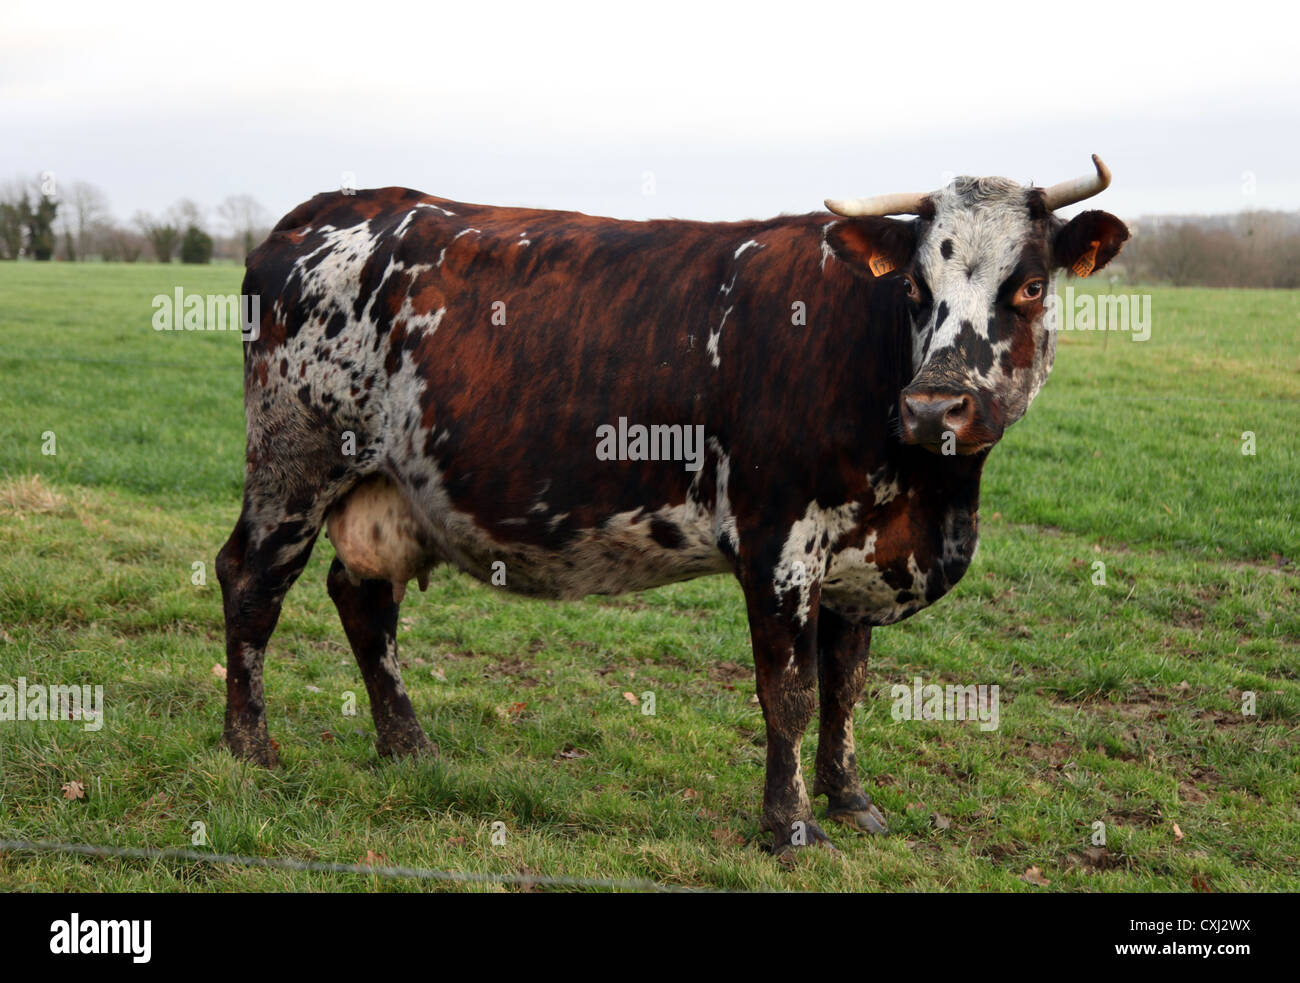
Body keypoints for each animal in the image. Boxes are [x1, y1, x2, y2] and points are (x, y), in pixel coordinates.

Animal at [217, 157, 1128, 858]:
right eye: (913, 283)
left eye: (1031, 285)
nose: (937, 405)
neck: (928, 493)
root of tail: (331, 208)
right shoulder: (778, 541)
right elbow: (790, 691)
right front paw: (790, 827)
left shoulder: (858, 556)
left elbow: (846, 686)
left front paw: (849, 799)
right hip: (293, 461)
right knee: (251, 582)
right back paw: (250, 748)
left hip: (381, 489)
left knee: (363, 598)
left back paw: (409, 747)